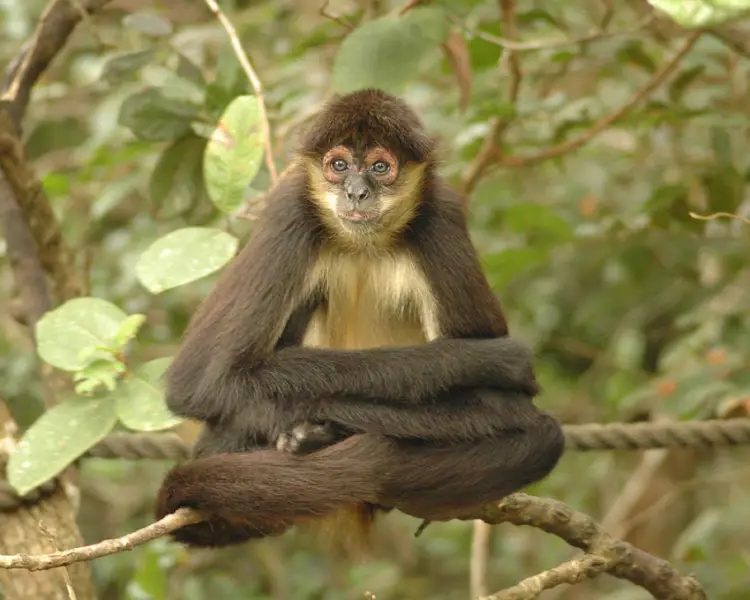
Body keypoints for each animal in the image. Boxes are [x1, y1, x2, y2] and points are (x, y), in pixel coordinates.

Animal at [154, 88, 564, 548]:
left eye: (380, 167)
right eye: (339, 166)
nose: (355, 192)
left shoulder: (441, 214)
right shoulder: (289, 208)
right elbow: (201, 381)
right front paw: (482, 361)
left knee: (540, 438)